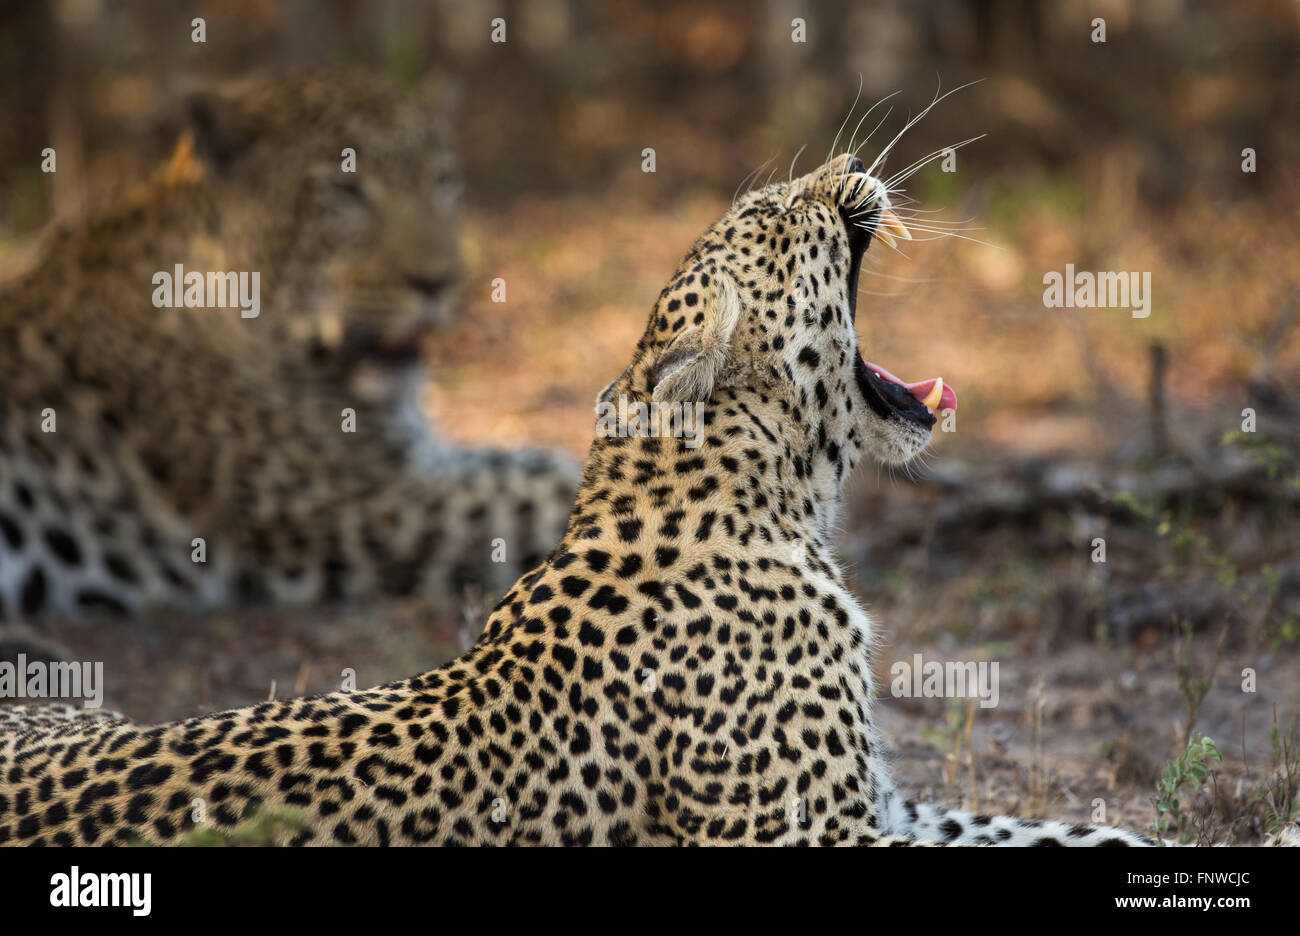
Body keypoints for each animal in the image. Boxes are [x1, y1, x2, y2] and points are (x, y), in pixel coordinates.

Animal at [0, 70, 579, 628]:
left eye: (442, 182)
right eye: (346, 191)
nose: (440, 281)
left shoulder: (418, 461)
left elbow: (546, 459)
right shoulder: (372, 505)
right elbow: (558, 491)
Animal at [0, 154, 1206, 846]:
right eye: (775, 216)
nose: (852, 166)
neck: (781, 504)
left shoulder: (893, 807)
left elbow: (1076, 836)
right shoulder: (815, 836)